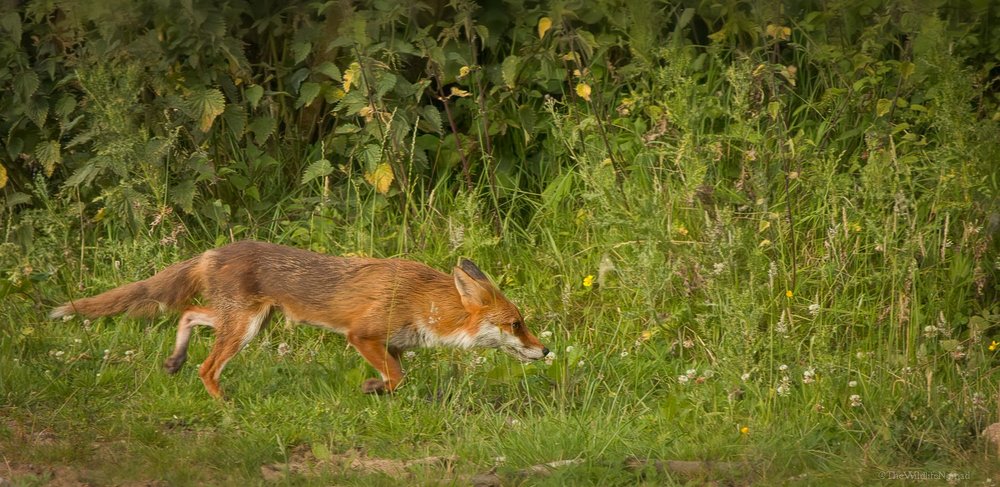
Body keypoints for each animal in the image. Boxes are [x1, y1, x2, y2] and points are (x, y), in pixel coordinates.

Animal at [50, 240, 548, 399]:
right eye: (516, 324)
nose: (545, 350)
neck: (422, 299)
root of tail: (215, 251)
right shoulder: (362, 335)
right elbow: (397, 377)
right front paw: (372, 387)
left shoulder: (393, 344)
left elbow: (399, 375)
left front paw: (376, 390)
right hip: (245, 328)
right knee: (207, 368)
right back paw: (225, 405)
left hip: (250, 321)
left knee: (190, 314)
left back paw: (174, 360)